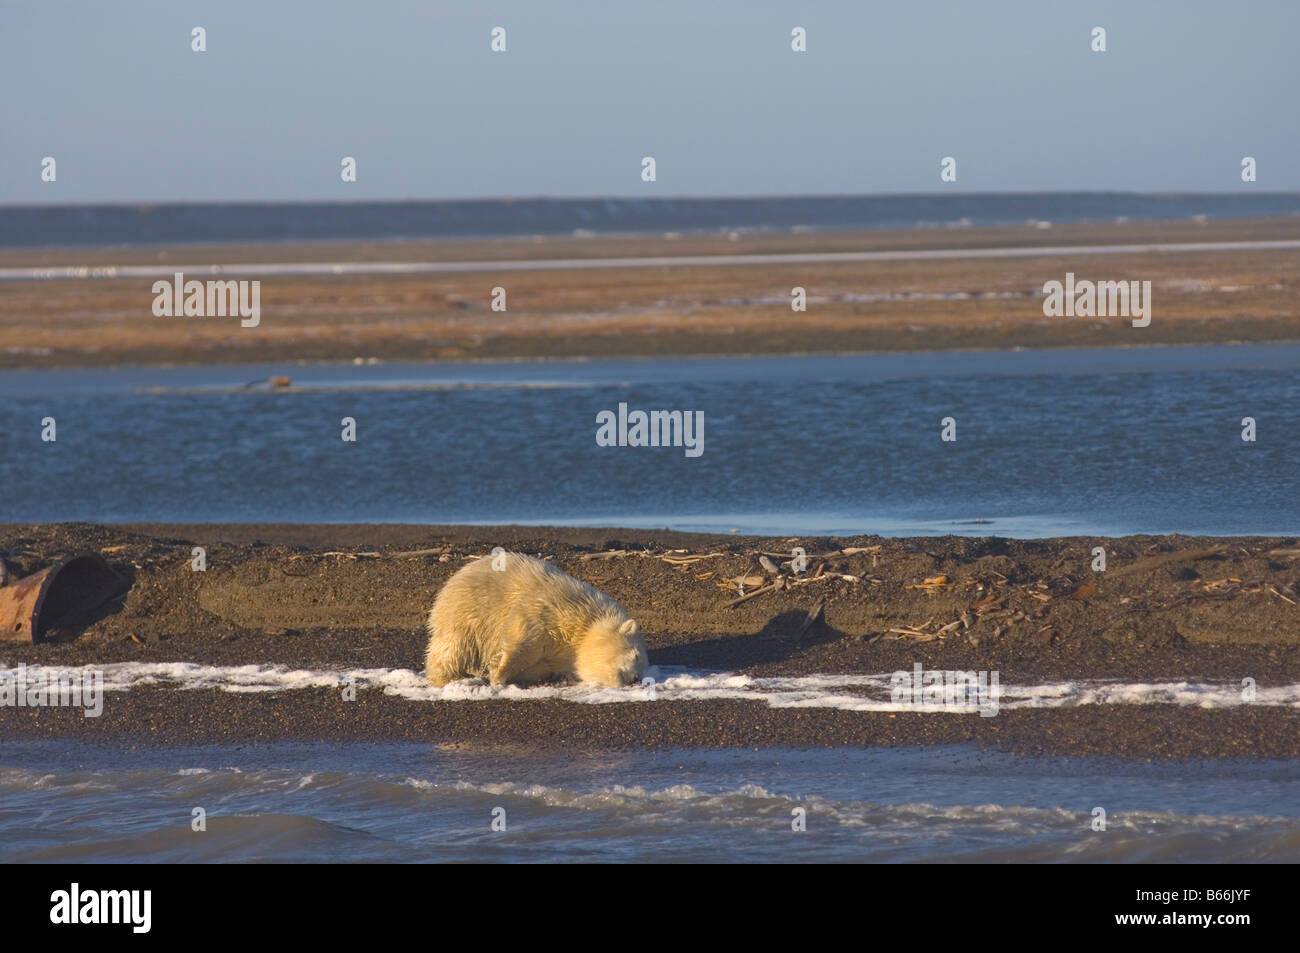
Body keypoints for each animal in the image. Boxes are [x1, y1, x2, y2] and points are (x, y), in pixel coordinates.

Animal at [424, 551, 647, 689]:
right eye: (636, 655)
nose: (636, 679)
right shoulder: (551, 609)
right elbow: (524, 637)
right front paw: (498, 674)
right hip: (465, 612)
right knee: (452, 648)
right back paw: (446, 678)